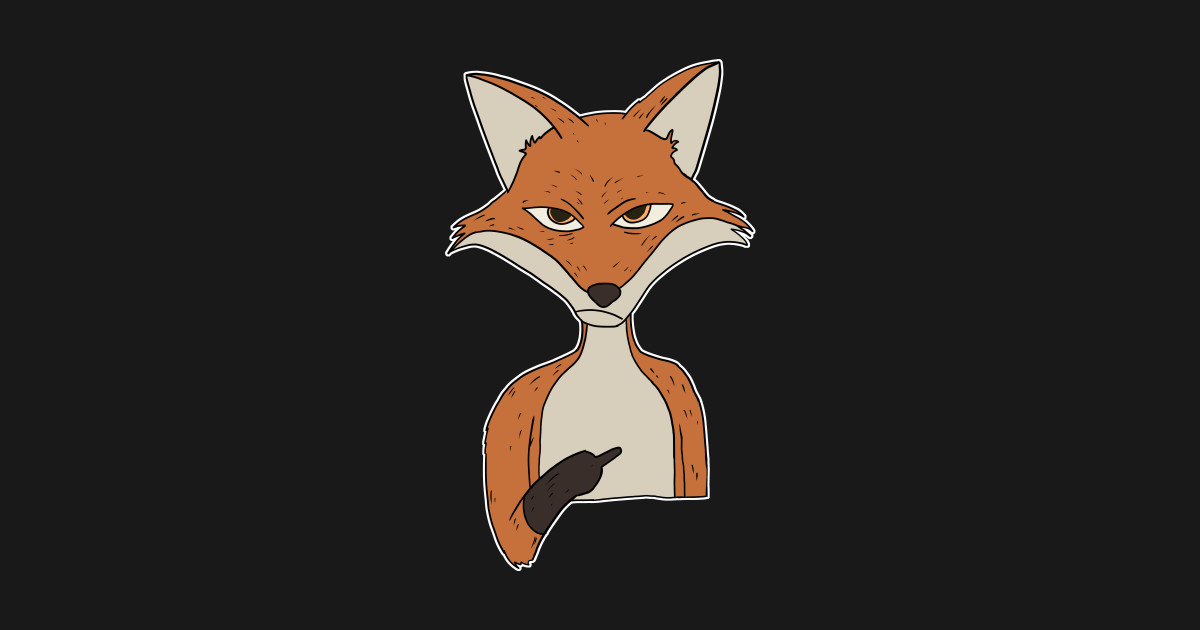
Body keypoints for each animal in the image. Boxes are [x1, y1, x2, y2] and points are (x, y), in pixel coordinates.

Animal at [446, 60, 753, 570]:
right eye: (557, 217)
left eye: (639, 215)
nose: (605, 292)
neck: (605, 380)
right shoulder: (510, 420)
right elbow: (514, 530)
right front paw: (577, 474)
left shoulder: (688, 413)